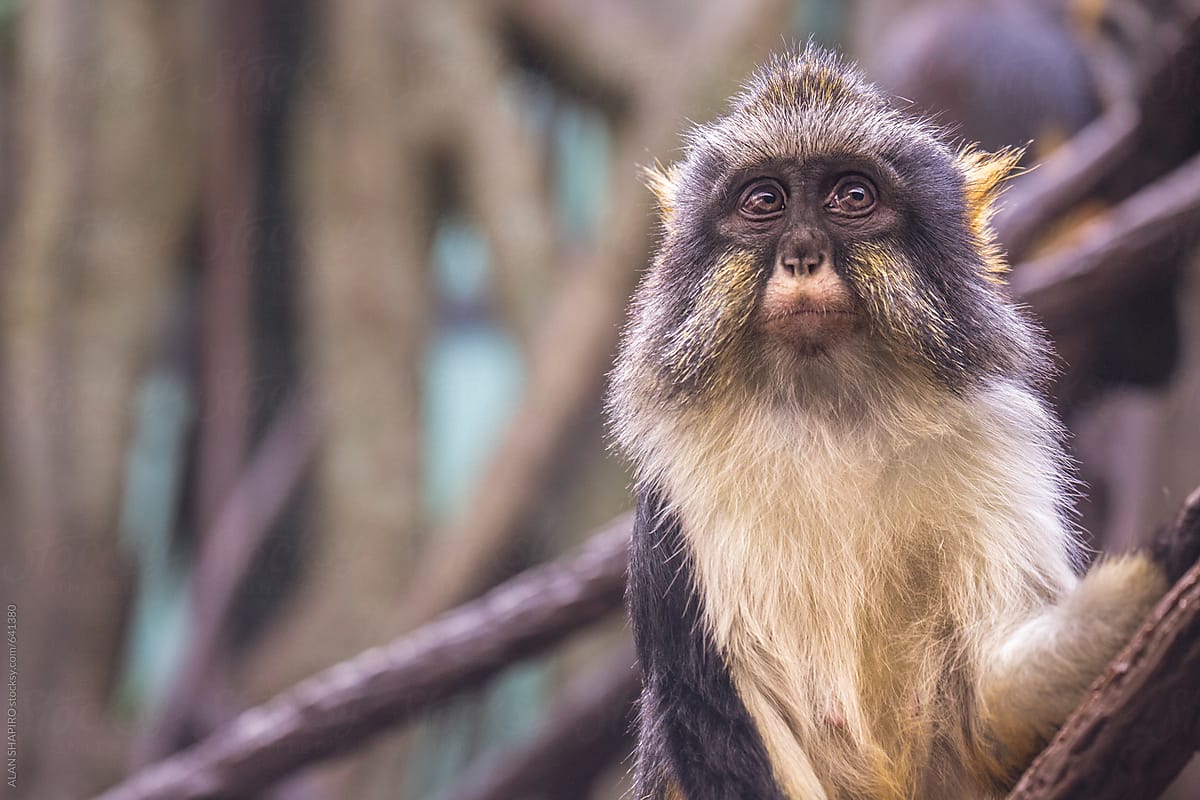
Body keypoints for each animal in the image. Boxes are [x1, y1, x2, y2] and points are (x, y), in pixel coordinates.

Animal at [607, 46, 1191, 800]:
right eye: (764, 202)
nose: (802, 256)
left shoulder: (995, 441)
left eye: (852, 197)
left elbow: (996, 696)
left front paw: (1172, 554)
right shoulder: (677, 499)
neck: (828, 410)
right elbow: (705, 706)